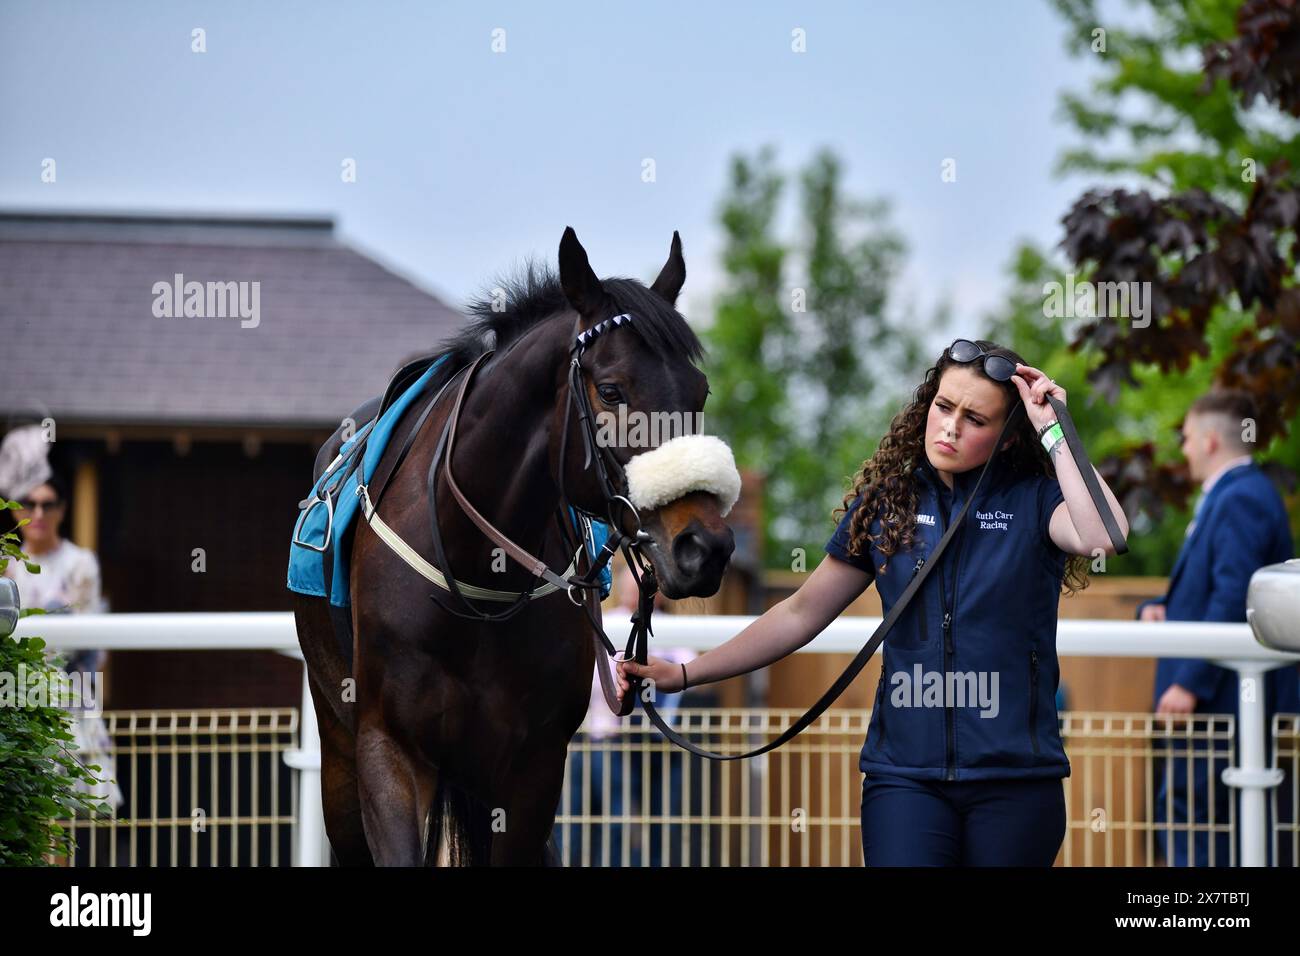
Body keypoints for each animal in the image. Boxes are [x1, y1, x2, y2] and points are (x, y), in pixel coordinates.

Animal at [292, 227, 736, 865]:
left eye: (699, 392)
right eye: (610, 390)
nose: (705, 546)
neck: (473, 578)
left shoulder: (535, 768)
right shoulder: (388, 747)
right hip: (339, 746)